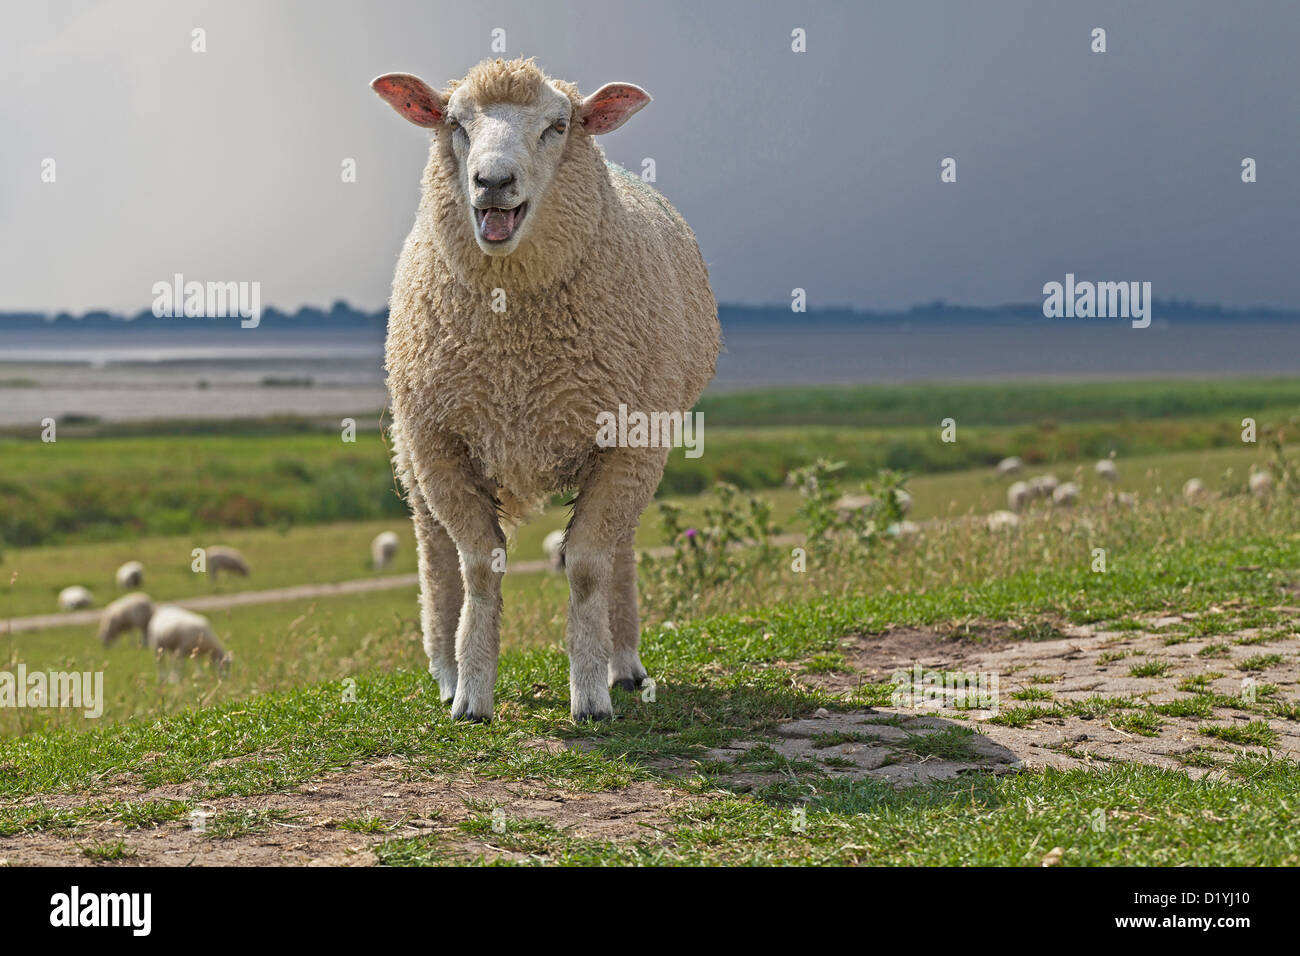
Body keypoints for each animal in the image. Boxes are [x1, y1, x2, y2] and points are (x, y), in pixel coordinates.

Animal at [374, 58, 720, 722]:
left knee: (618, 550)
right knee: (435, 553)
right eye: (455, 122)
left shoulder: (630, 443)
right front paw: (473, 694)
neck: (518, 355)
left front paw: (589, 693)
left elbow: (586, 565)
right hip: (412, 446)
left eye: (558, 125)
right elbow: (479, 566)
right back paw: (445, 670)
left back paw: (624, 662)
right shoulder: (440, 444)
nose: (493, 181)